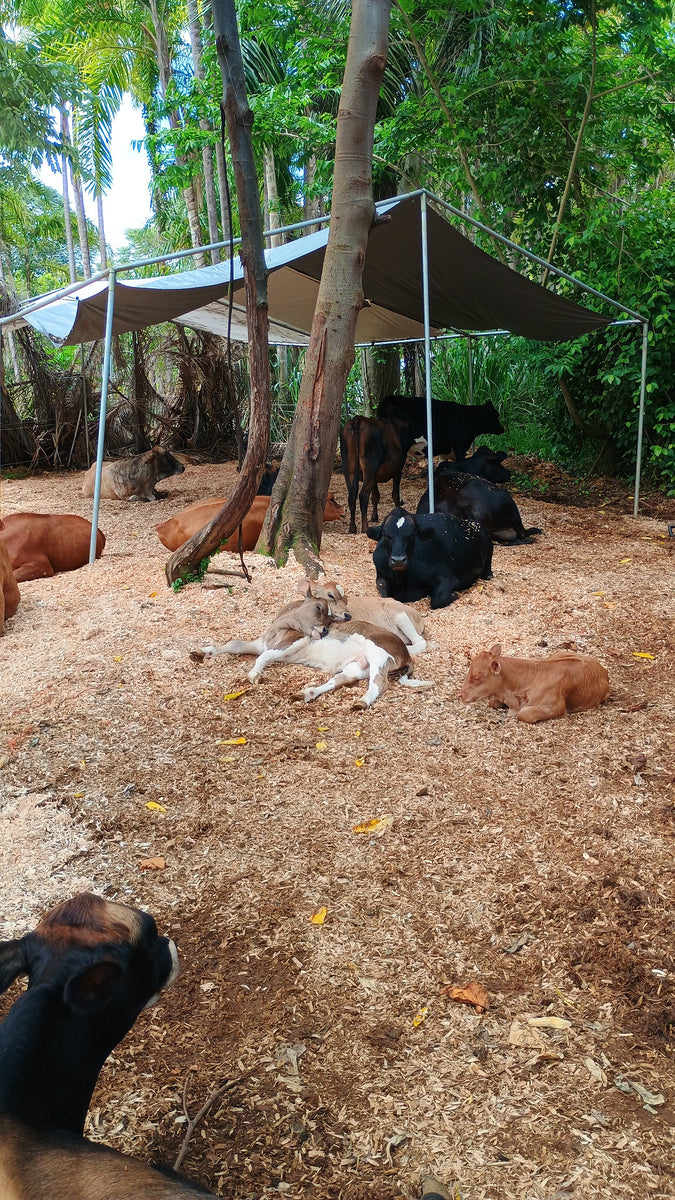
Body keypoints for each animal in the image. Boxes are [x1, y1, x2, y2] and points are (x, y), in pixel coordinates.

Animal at [196, 596, 432, 709]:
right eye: (320, 608)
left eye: (329, 616)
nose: (326, 630)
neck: (280, 627)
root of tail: (405, 653)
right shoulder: (260, 643)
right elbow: (233, 644)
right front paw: (201, 653)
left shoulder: (292, 642)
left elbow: (265, 657)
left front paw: (254, 674)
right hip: (357, 666)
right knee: (340, 680)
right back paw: (306, 693)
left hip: (379, 656)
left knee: (379, 683)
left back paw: (361, 702)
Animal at [459, 645, 610, 723]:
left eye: (476, 677)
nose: (460, 695)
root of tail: (604, 670)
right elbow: (492, 702)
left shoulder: (556, 707)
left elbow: (524, 714)